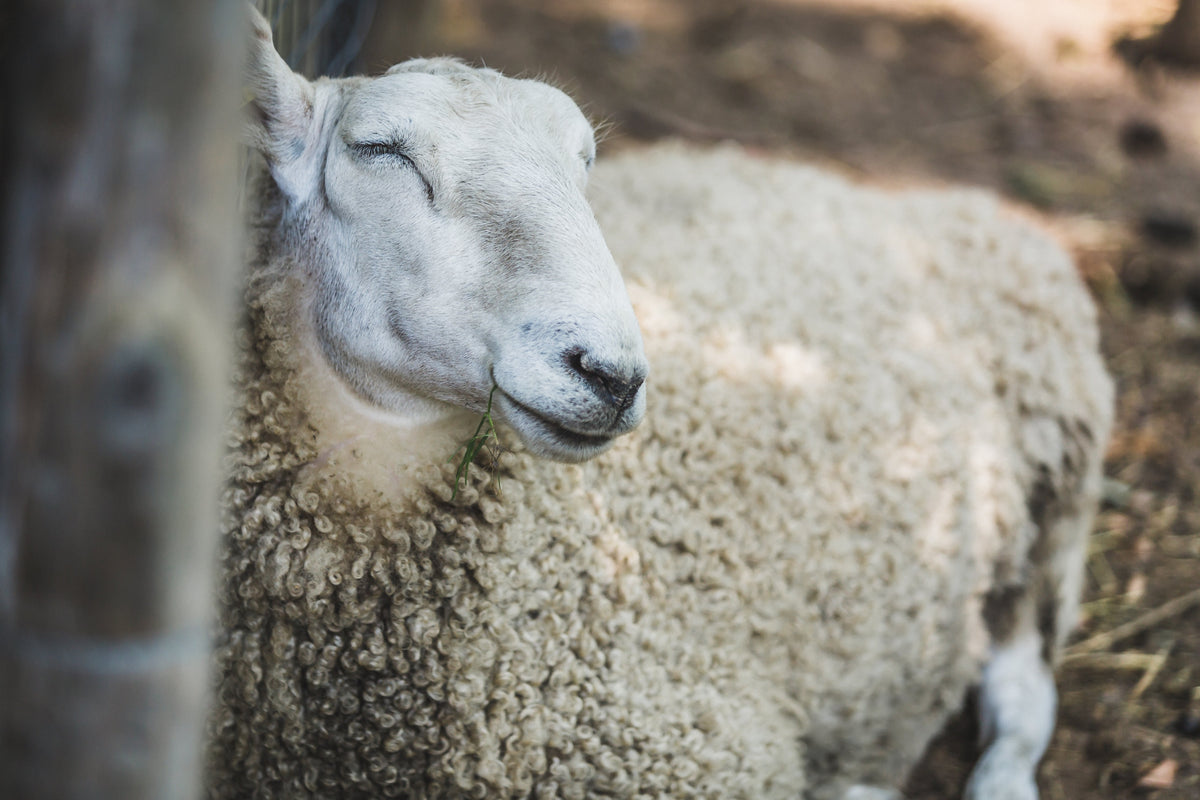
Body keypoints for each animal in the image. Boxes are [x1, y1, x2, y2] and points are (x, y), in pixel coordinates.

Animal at [206, 11, 1112, 800]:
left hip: (1057, 498)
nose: (610, 374)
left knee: (1023, 690)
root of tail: (931, 202)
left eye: (585, 162)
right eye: (381, 150)